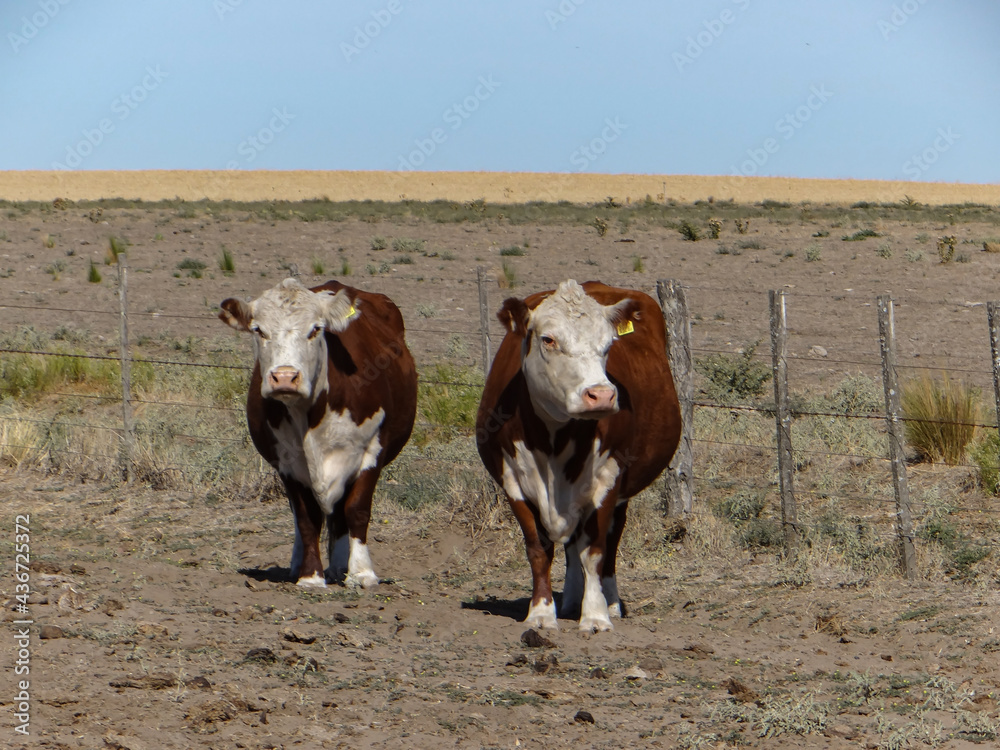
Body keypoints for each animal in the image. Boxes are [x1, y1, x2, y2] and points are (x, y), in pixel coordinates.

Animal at [219, 277, 417, 589]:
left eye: (315, 329)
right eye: (258, 329)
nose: (284, 377)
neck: (309, 417)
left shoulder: (372, 450)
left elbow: (357, 509)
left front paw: (362, 573)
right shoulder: (287, 462)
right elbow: (306, 518)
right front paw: (311, 575)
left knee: (341, 514)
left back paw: (341, 566)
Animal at [476, 280, 681, 632]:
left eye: (608, 344)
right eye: (548, 339)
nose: (601, 394)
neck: (552, 442)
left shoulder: (608, 479)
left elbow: (594, 552)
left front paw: (596, 616)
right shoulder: (512, 481)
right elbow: (539, 549)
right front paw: (542, 613)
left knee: (609, 541)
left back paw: (609, 602)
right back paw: (571, 600)